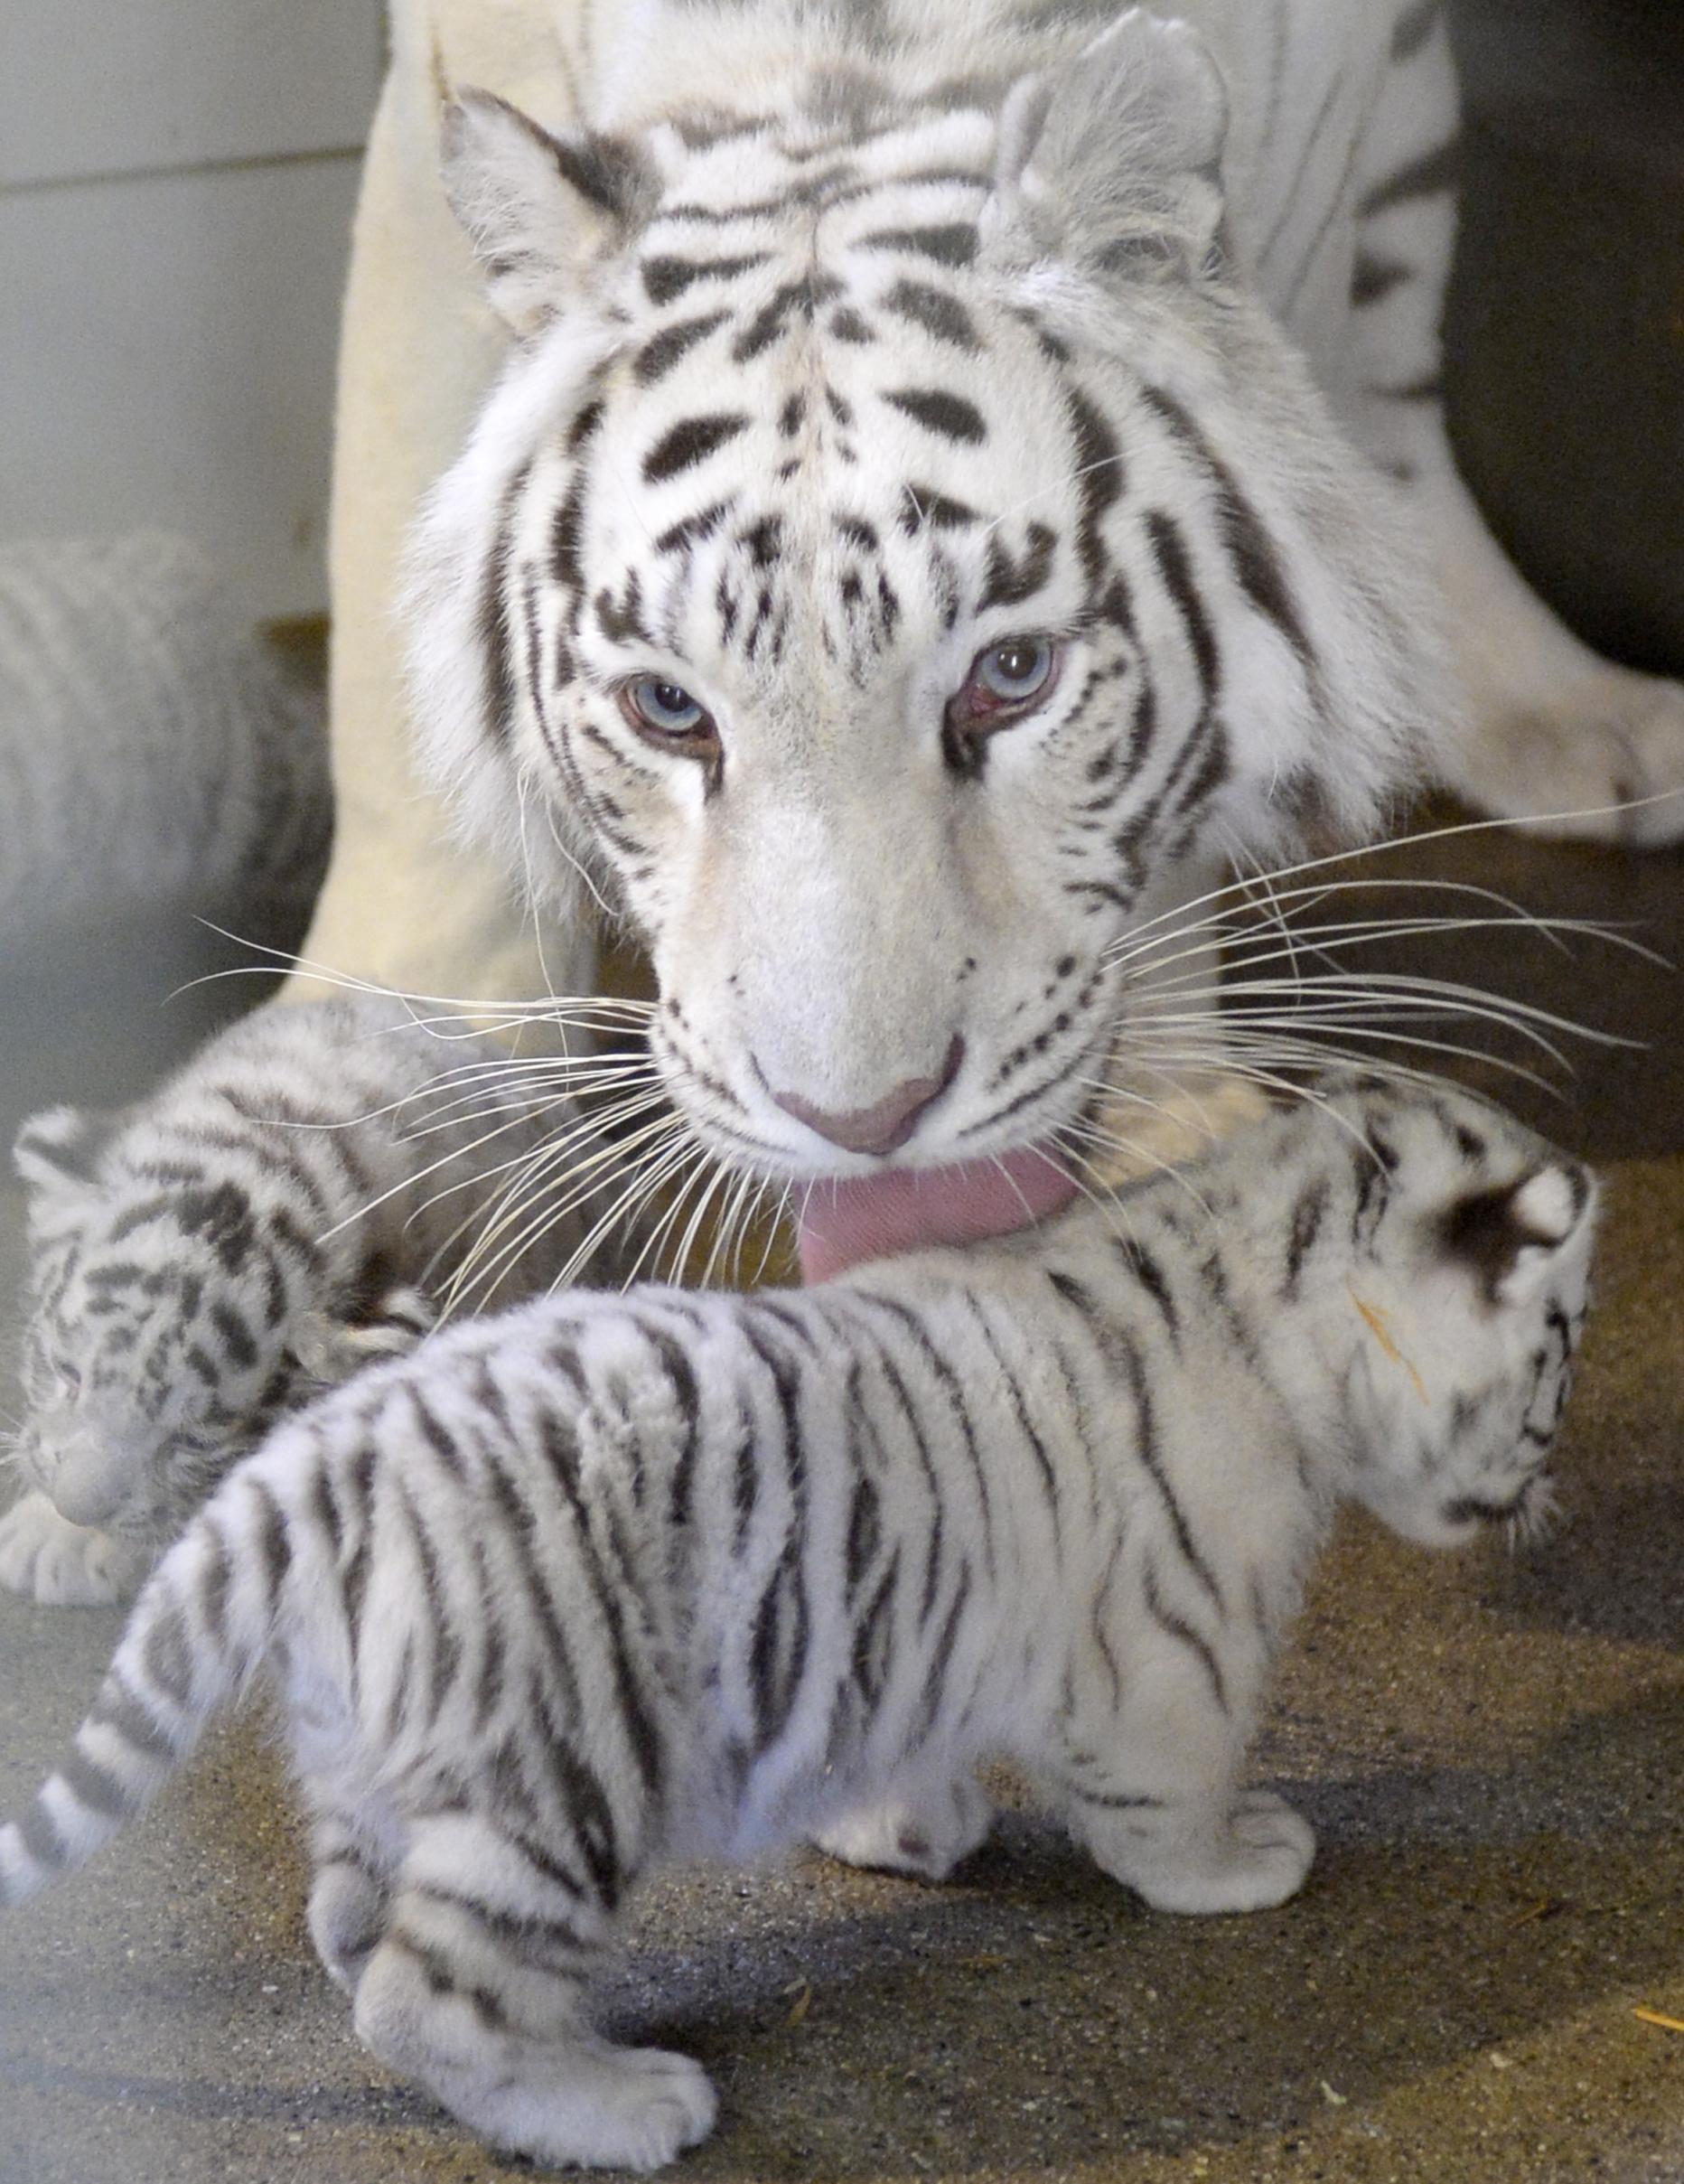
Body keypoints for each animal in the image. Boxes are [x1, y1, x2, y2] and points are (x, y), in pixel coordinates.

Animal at [0, 1077, 1598, 2172]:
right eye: (1559, 1359)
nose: (1540, 1488)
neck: (1270, 1298)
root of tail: (306, 1464)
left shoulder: (914, 1630)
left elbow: (909, 1748)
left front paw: (908, 1836)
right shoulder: (1170, 1649)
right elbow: (1172, 1795)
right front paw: (1238, 1863)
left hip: (371, 1744)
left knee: (347, 1910)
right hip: (555, 1777)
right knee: (420, 1999)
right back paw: (620, 2102)